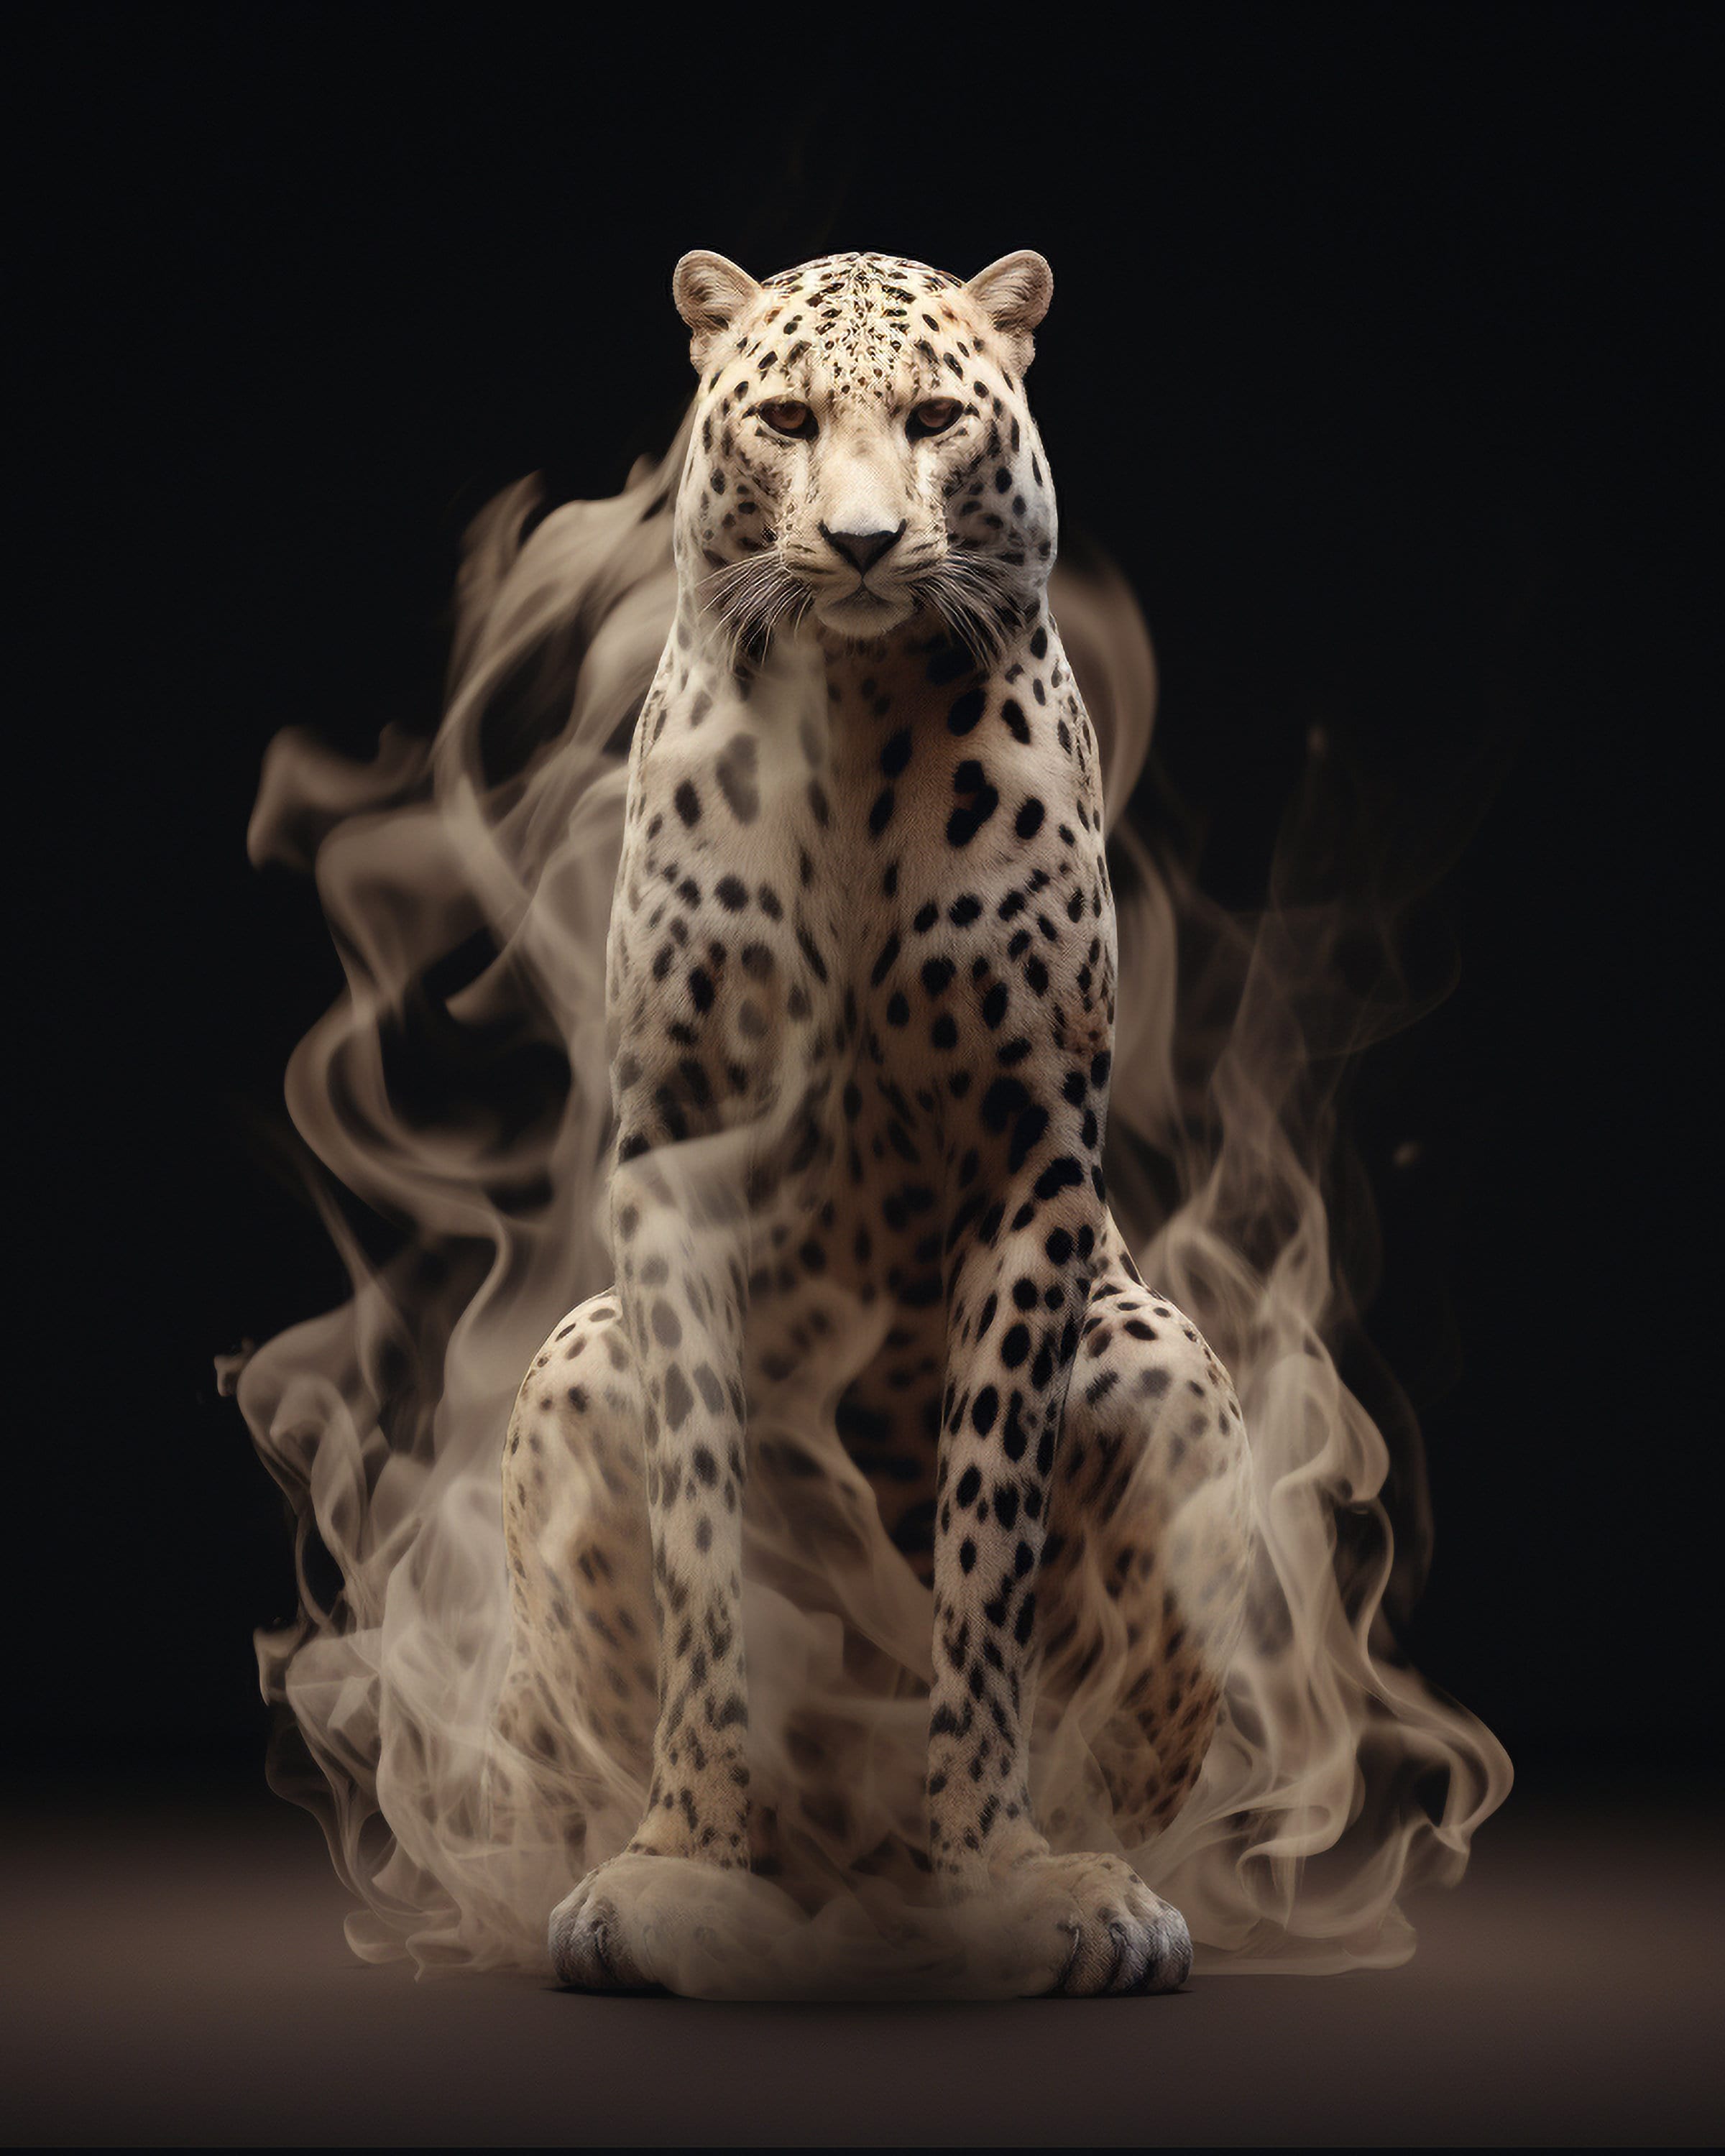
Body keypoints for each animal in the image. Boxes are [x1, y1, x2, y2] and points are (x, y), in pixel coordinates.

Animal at [488, 248, 1255, 1997]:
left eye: (931, 420)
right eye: (783, 419)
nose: (857, 545)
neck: (851, 719)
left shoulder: (1035, 1164)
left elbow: (985, 1549)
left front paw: (1002, 1872)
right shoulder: (675, 1159)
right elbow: (702, 1535)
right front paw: (683, 1864)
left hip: (1165, 1363)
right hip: (574, 1360)